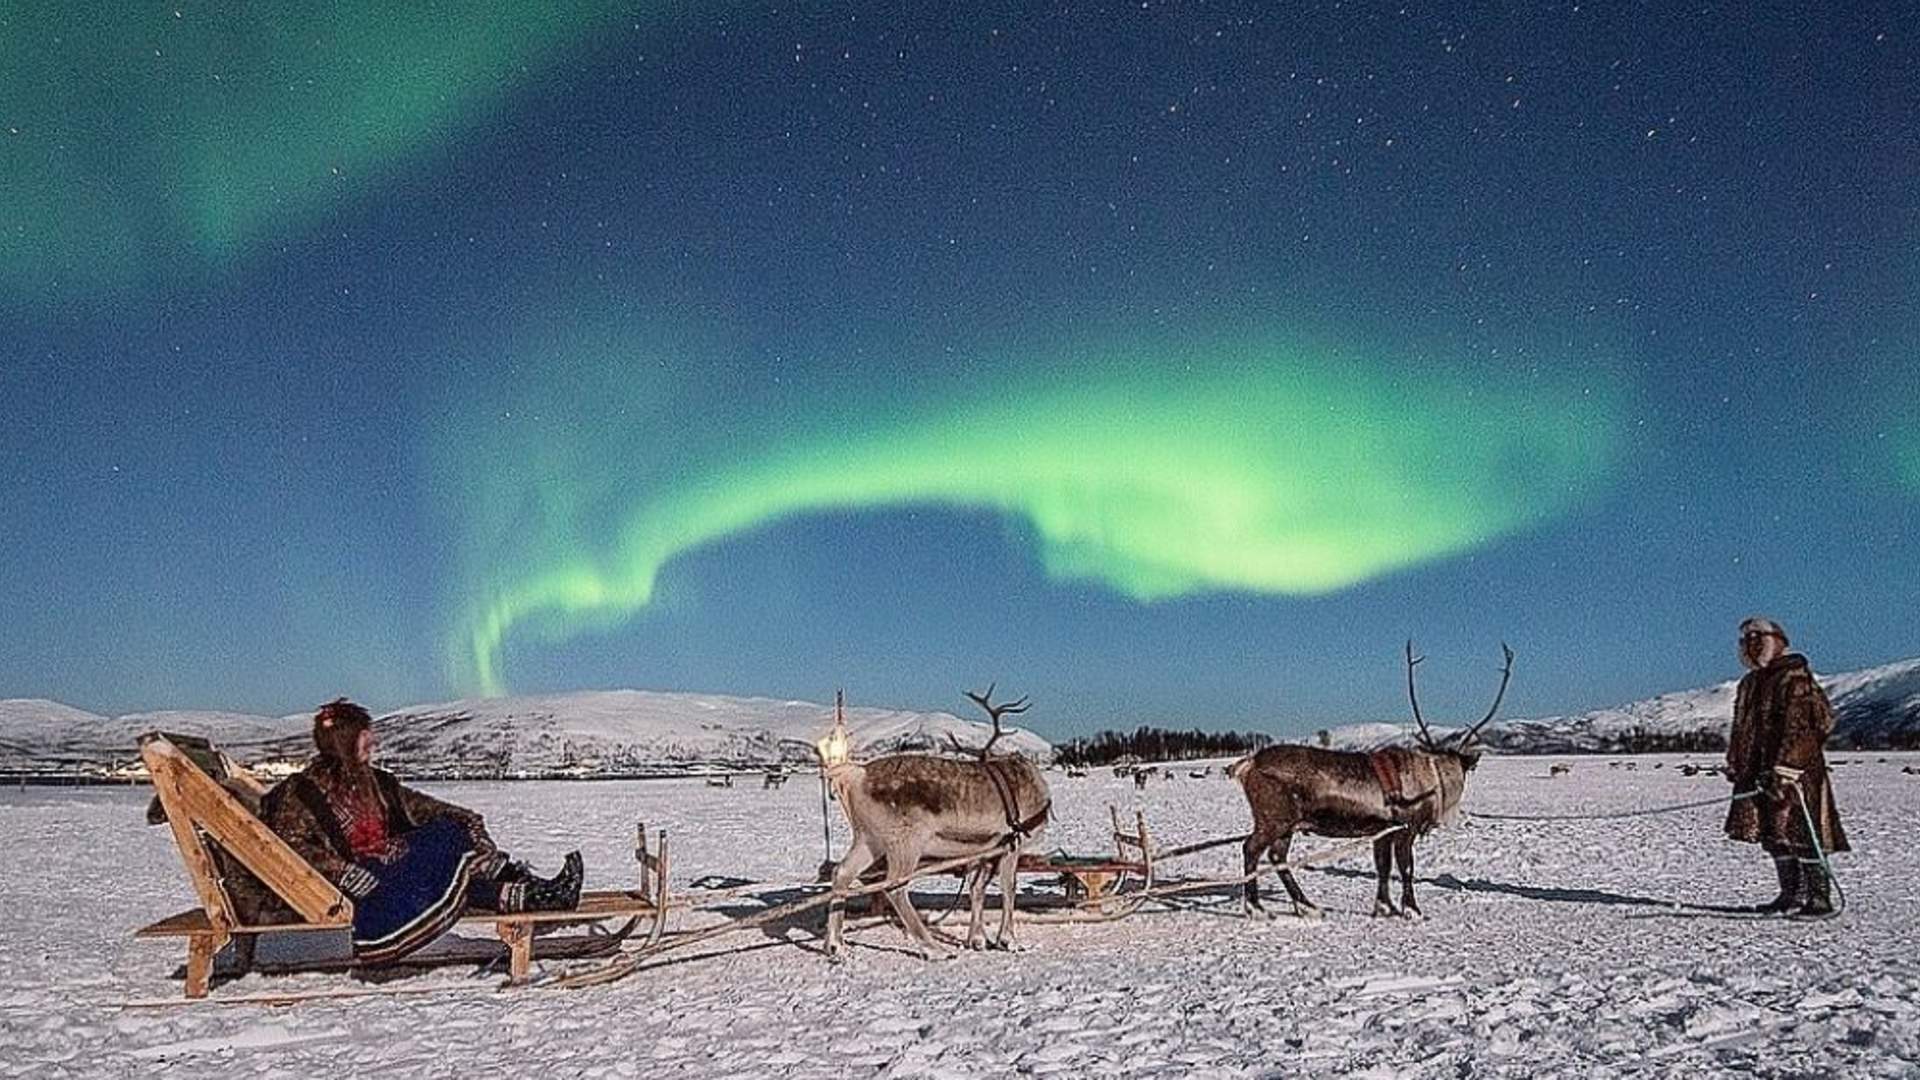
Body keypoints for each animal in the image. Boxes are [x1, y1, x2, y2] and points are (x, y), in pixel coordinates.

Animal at [822, 684, 1051, 961]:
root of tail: (856, 775)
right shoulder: (1011, 844)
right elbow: (1009, 887)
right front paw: (1009, 940)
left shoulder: (980, 851)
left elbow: (976, 888)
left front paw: (977, 939)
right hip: (906, 843)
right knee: (894, 886)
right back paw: (934, 948)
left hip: (869, 840)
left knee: (842, 872)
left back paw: (835, 945)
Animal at [1227, 641, 1513, 922]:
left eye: (1459, 769)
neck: (1432, 778)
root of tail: (1248, 763)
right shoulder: (1405, 828)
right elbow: (1406, 868)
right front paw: (1413, 910)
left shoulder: (1381, 831)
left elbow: (1383, 867)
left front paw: (1385, 907)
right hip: (1274, 819)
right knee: (1251, 849)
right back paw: (1257, 908)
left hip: (1287, 825)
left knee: (1277, 857)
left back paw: (1308, 906)